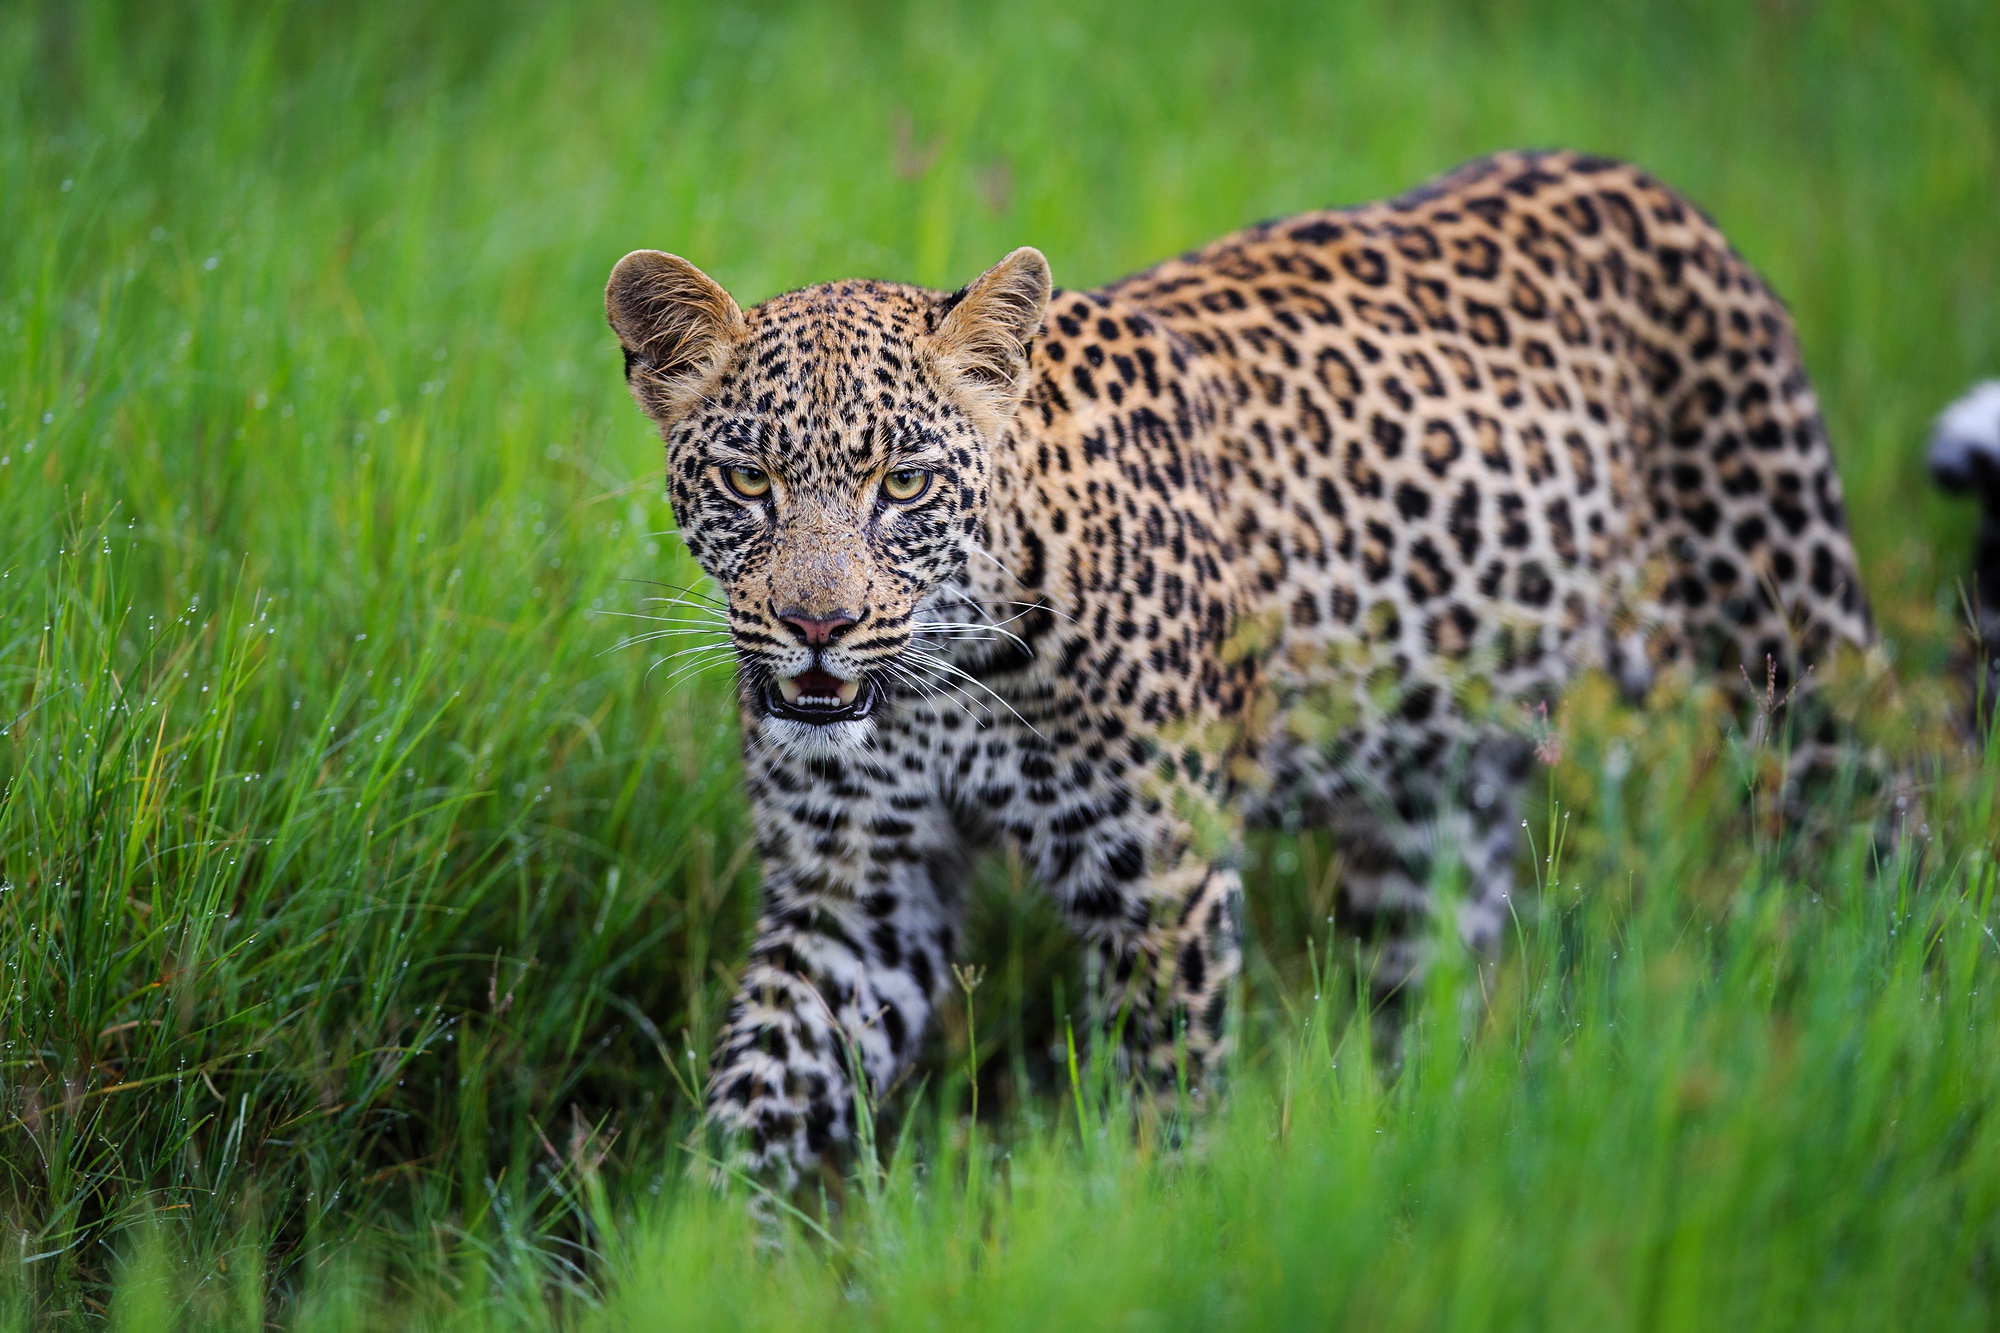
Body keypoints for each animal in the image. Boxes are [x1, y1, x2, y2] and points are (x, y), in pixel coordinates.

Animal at [604, 149, 1874, 1191]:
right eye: (748, 480)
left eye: (904, 484)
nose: (816, 624)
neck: (943, 674)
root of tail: (1638, 180)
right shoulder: (856, 893)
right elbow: (757, 1098)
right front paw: (700, 1257)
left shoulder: (1159, 878)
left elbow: (1162, 1101)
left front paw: (1141, 1229)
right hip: (1431, 792)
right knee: (1425, 982)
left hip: (1788, 637)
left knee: (1860, 827)